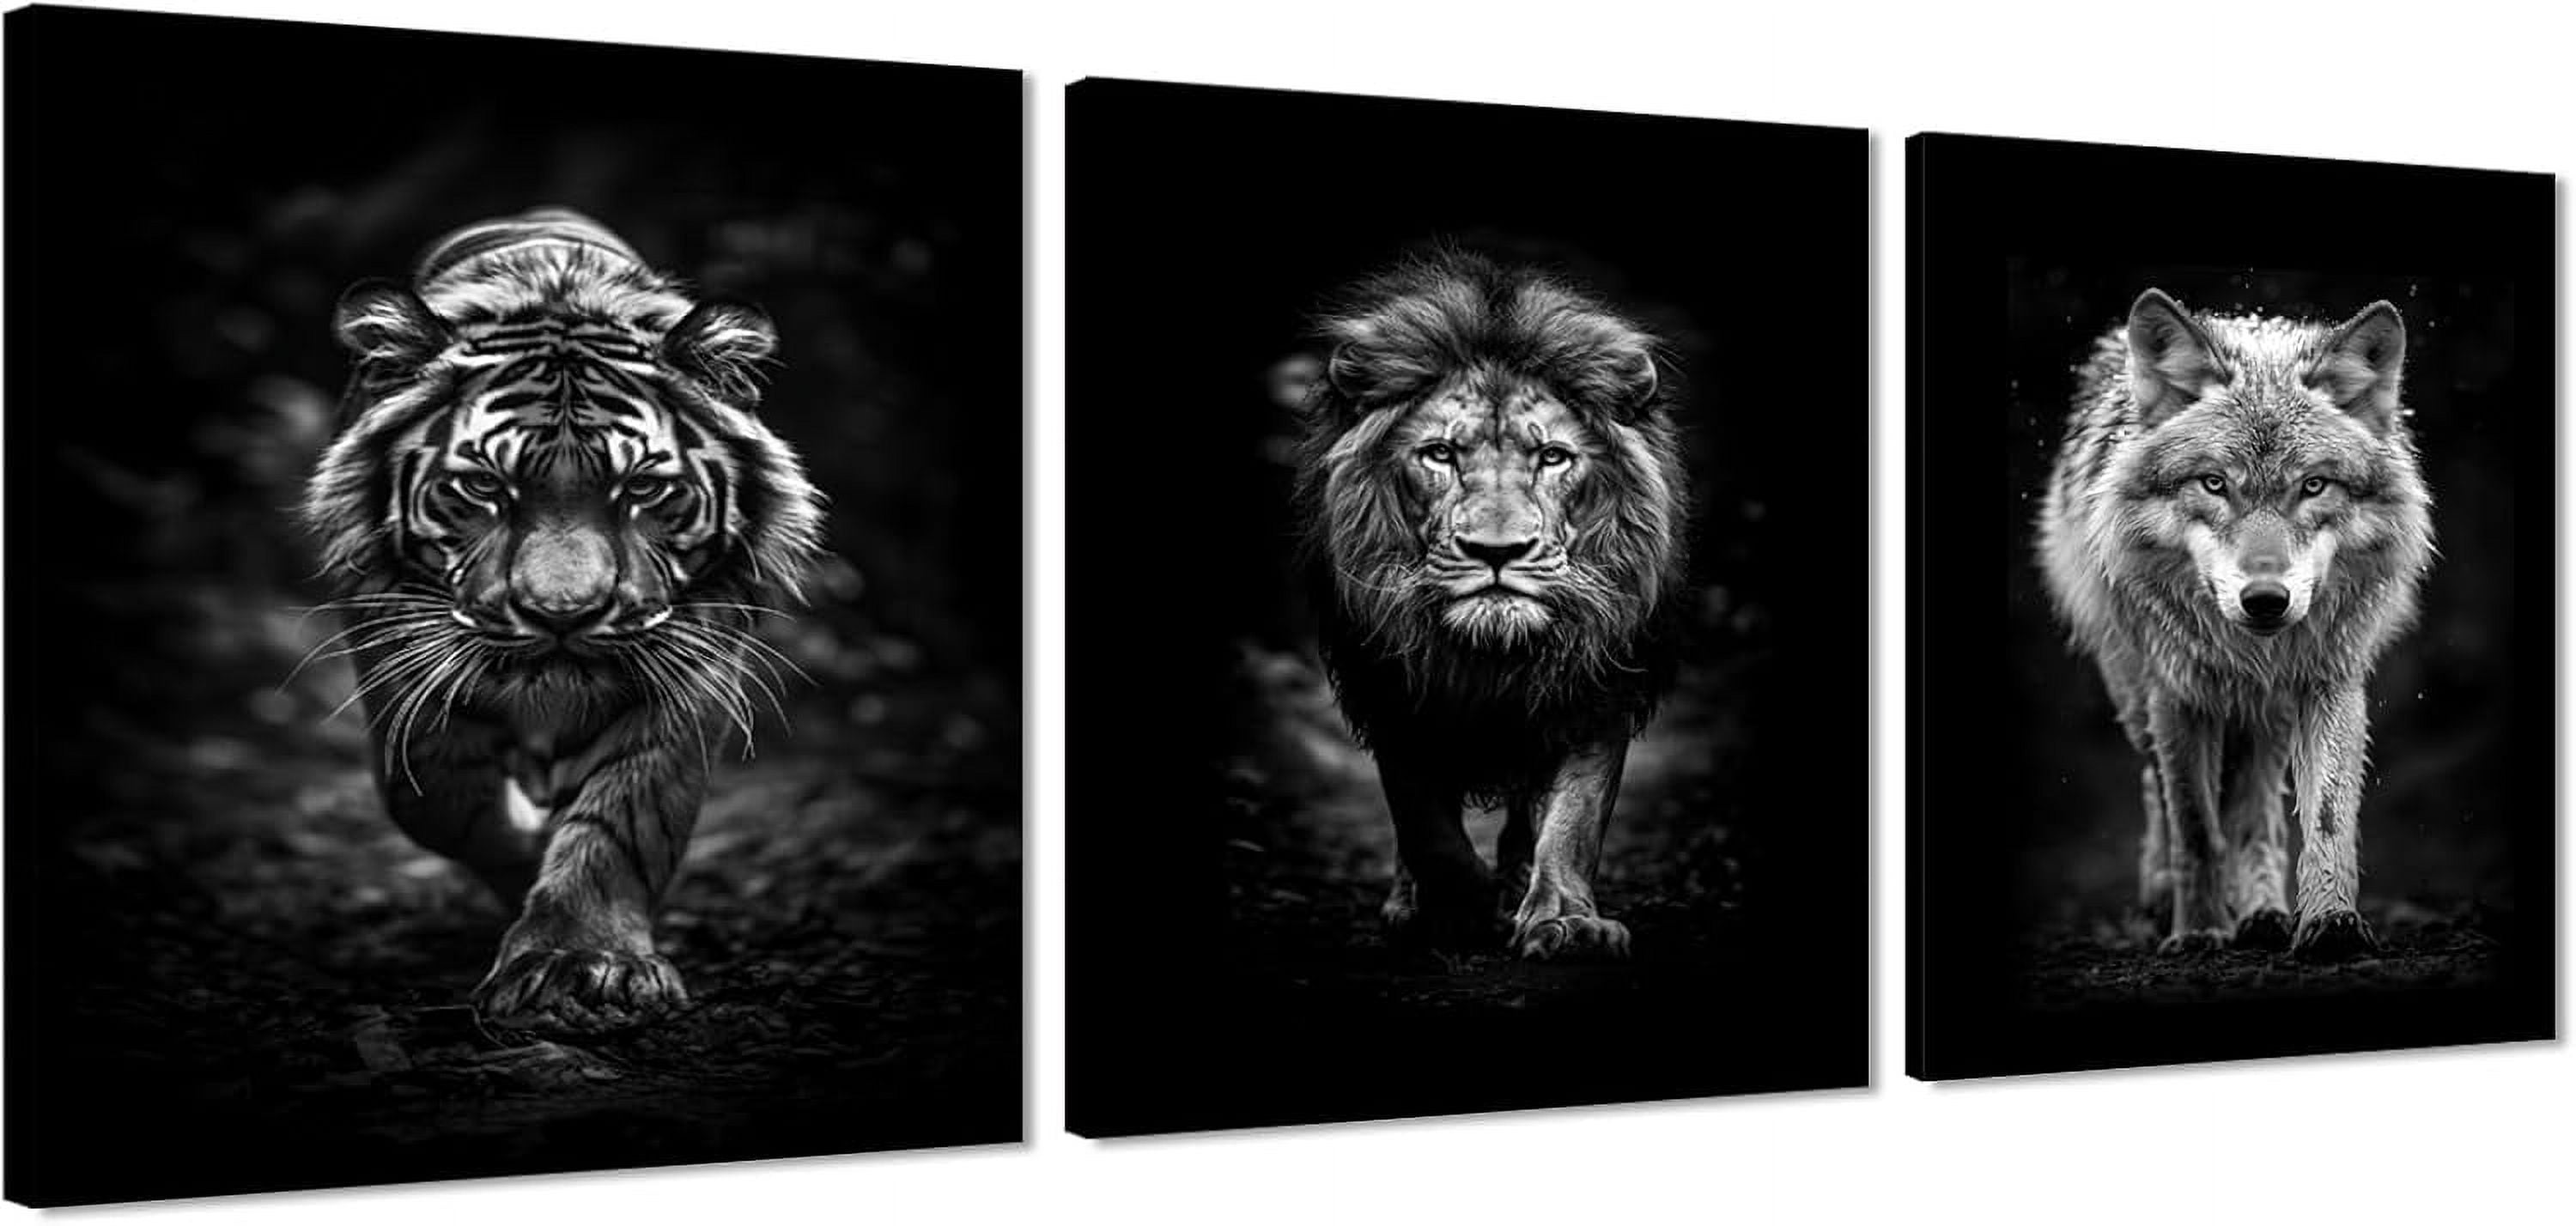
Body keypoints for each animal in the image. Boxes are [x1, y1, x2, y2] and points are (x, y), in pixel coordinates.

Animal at [303, 208, 824, 1031]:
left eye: (642, 488)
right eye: (483, 487)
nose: (562, 615)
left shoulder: (688, 674)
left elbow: (624, 819)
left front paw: (581, 962)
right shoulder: (397, 659)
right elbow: (438, 797)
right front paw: (528, 874)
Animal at [1294, 251, 1689, 960]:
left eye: (1553, 457)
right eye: (1440, 454)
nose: (1497, 551)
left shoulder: (1598, 685)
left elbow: (1574, 816)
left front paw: (1565, 921)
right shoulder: (1392, 685)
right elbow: (1425, 823)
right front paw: (1459, 910)